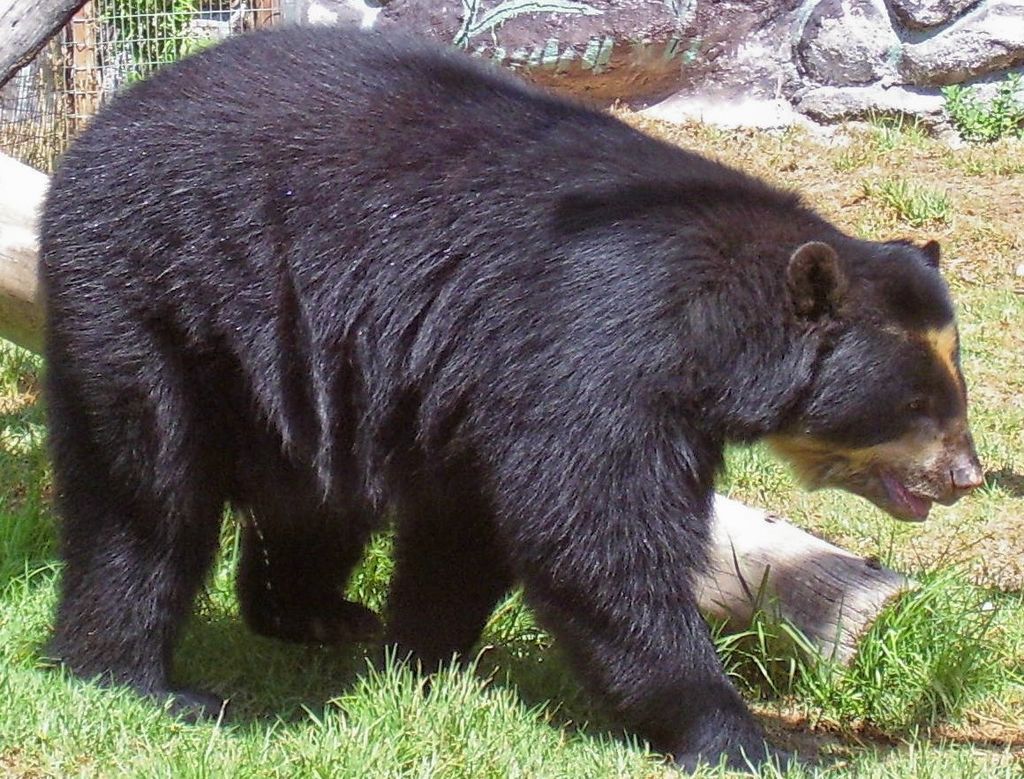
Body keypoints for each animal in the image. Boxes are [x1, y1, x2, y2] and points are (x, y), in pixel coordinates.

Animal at [39, 26, 983, 772]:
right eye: (917, 403)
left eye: (954, 389)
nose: (967, 475)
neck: (713, 337)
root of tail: (97, 127)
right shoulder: (590, 353)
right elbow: (594, 537)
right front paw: (745, 737)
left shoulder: (476, 386)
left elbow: (469, 525)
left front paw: (417, 663)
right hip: (149, 299)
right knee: (144, 497)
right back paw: (141, 678)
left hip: (300, 359)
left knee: (317, 495)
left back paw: (314, 614)